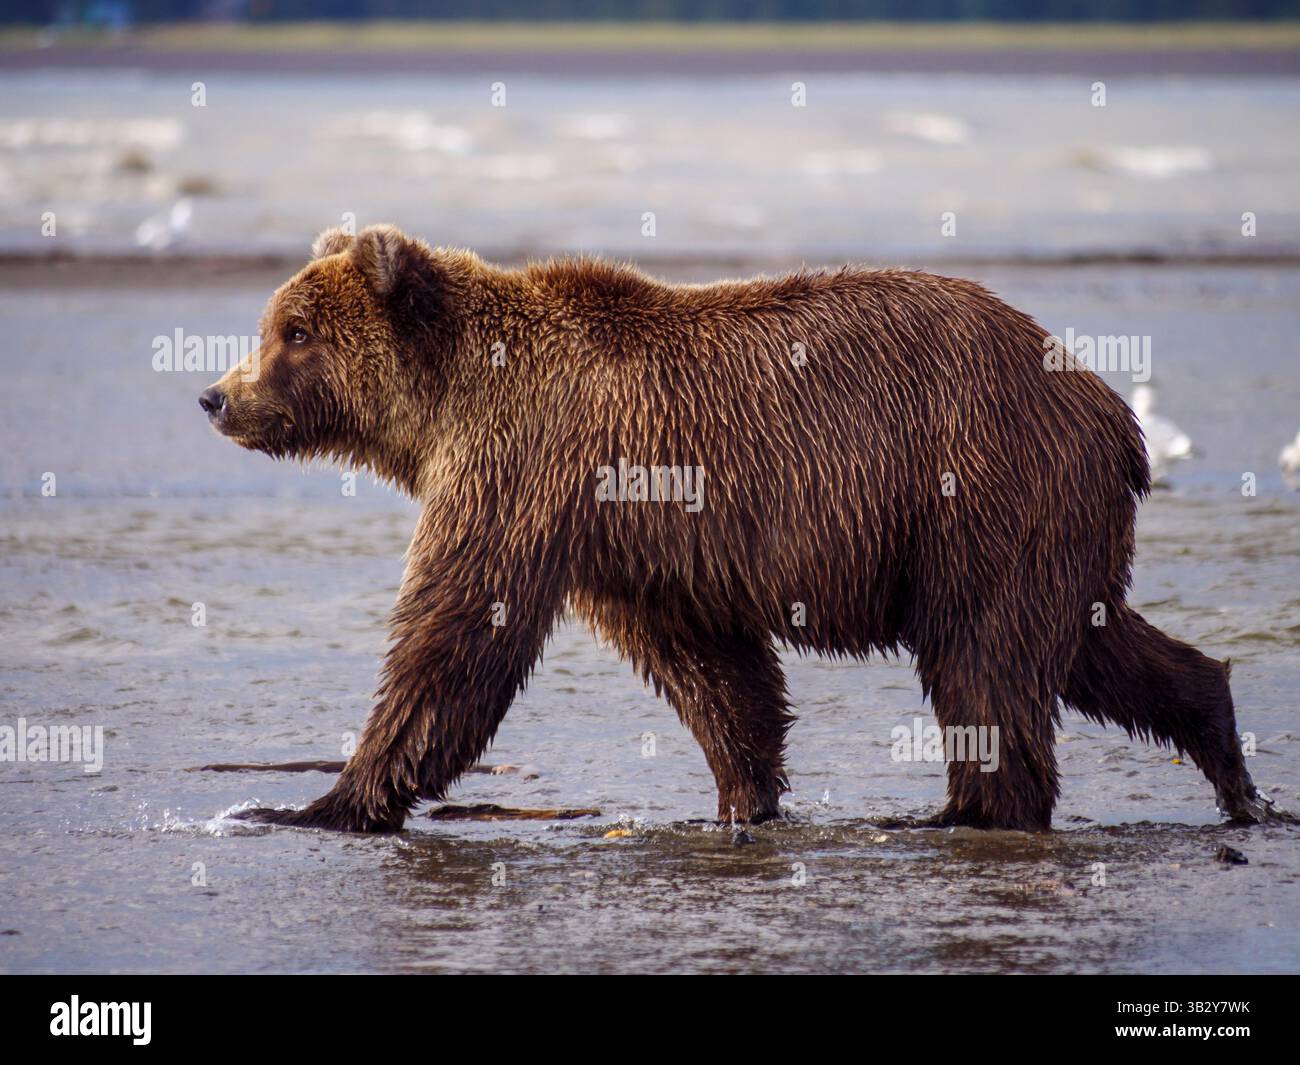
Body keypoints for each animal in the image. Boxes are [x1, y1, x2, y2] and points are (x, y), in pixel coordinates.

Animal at [200, 224, 1290, 833]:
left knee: (988, 661)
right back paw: (1226, 758)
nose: (217, 397)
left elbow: (457, 633)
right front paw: (742, 793)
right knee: (1089, 644)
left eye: (293, 331)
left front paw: (317, 800)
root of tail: (1112, 408)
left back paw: (969, 810)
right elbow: (710, 668)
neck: (442, 405)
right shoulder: (626, 537)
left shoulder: (524, 472)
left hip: (979, 488)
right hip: (1041, 521)